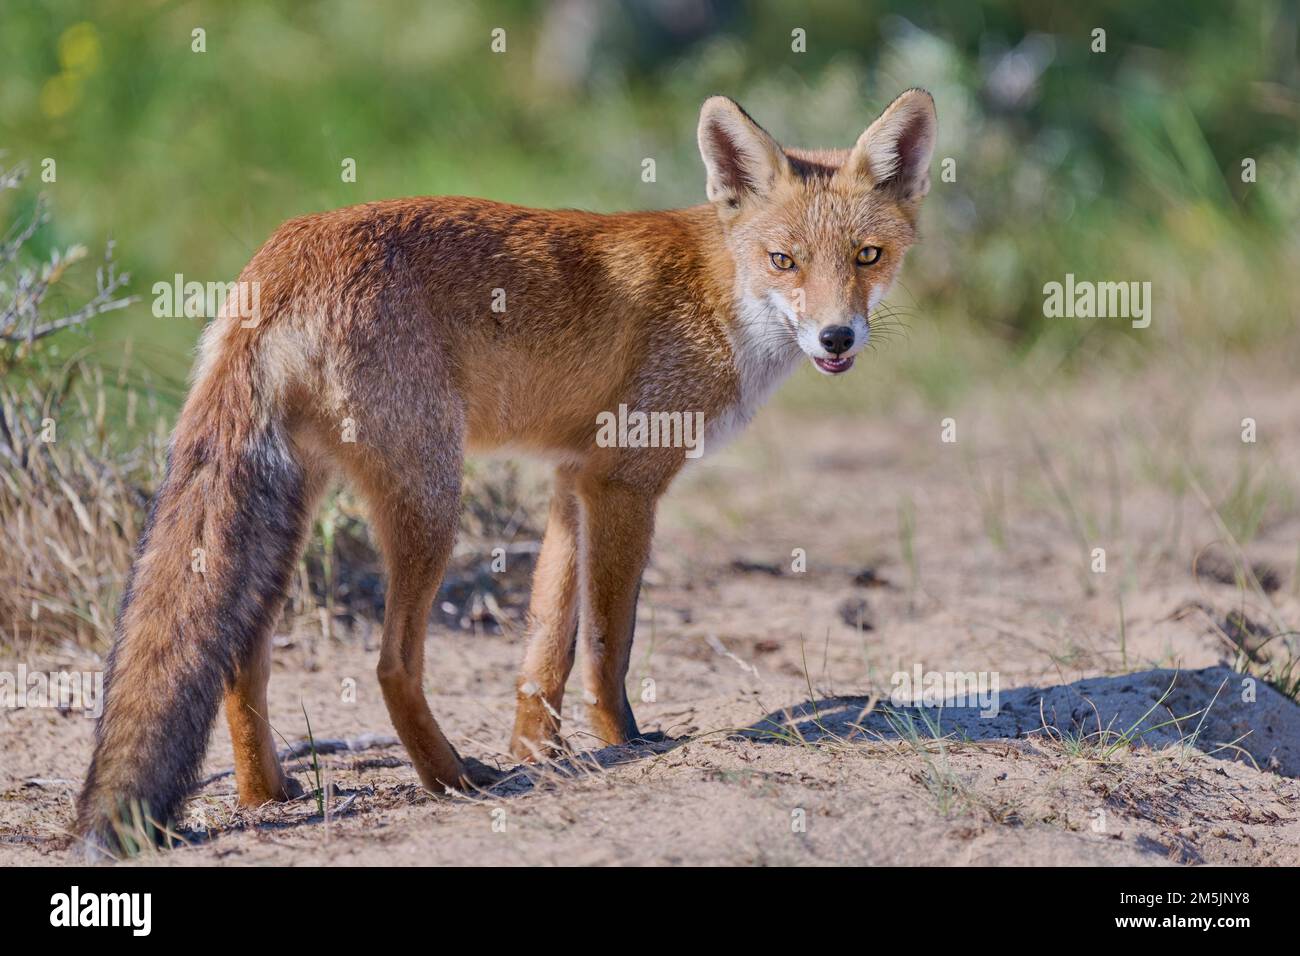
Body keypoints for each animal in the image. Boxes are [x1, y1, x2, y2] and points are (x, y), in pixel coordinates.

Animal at [76, 89, 937, 852]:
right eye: (783, 261)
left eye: (867, 257)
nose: (835, 338)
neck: (719, 293)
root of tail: (282, 255)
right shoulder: (624, 483)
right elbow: (606, 645)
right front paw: (624, 742)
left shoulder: (570, 479)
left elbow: (546, 645)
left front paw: (538, 751)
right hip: (432, 501)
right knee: (391, 664)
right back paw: (450, 777)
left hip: (293, 512)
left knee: (240, 659)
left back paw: (268, 793)